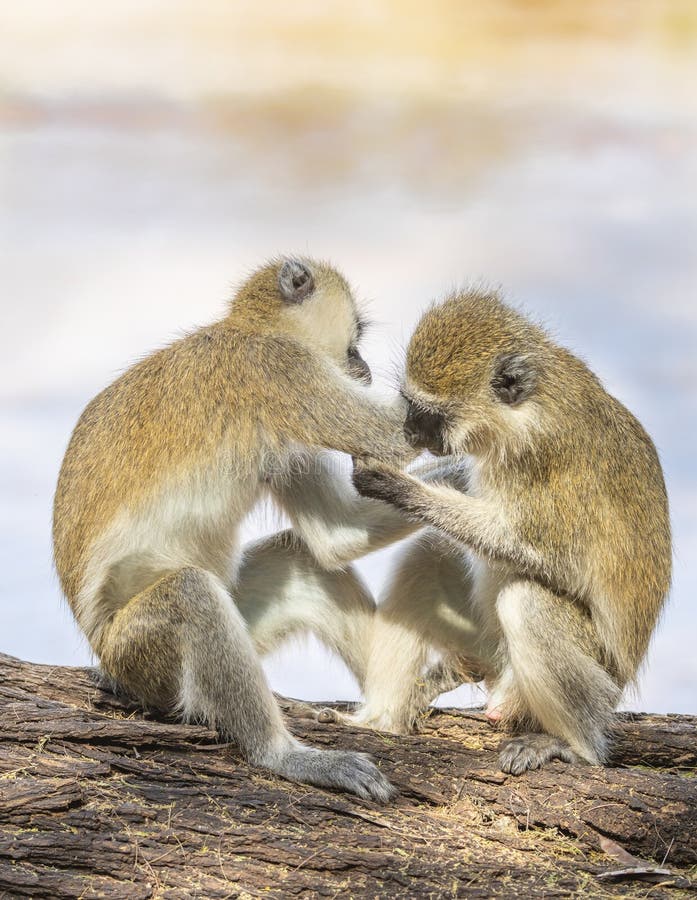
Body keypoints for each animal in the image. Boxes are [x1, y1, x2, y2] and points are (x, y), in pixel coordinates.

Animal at [53, 256, 425, 802]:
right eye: (355, 337)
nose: (363, 366)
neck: (253, 328)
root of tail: (102, 653)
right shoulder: (282, 370)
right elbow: (392, 435)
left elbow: (340, 535)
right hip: (140, 655)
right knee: (193, 594)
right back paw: (284, 755)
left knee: (304, 562)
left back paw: (388, 713)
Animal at [350, 288, 672, 774]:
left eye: (427, 413)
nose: (407, 431)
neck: (526, 408)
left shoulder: (541, 459)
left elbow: (535, 550)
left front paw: (393, 484)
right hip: (487, 650)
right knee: (425, 557)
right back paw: (377, 721)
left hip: (593, 678)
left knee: (526, 602)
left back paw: (578, 747)